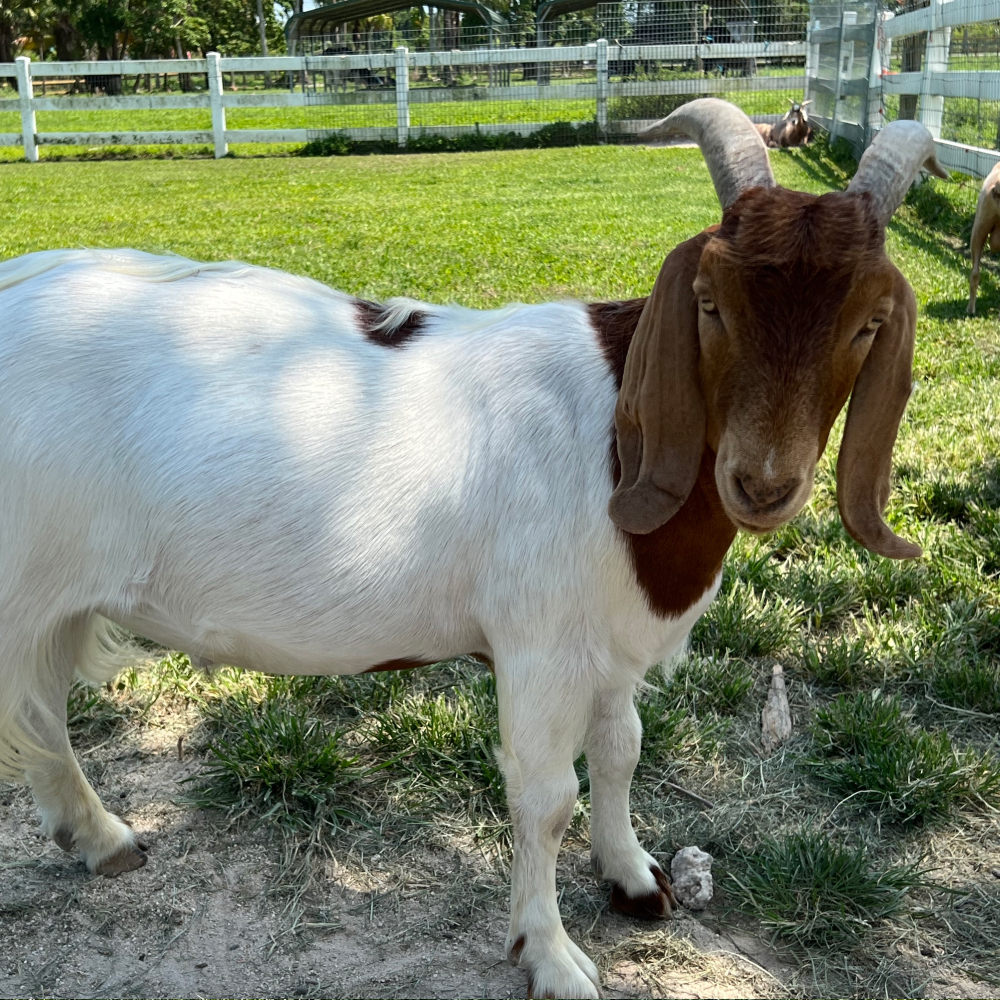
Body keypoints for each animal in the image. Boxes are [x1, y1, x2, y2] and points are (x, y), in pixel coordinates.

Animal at [0, 101, 943, 999]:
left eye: (868, 323)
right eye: (710, 303)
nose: (762, 482)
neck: (615, 435)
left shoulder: (609, 641)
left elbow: (623, 748)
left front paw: (634, 878)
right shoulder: (539, 646)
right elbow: (547, 796)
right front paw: (552, 957)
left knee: (39, 713)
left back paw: (100, 838)